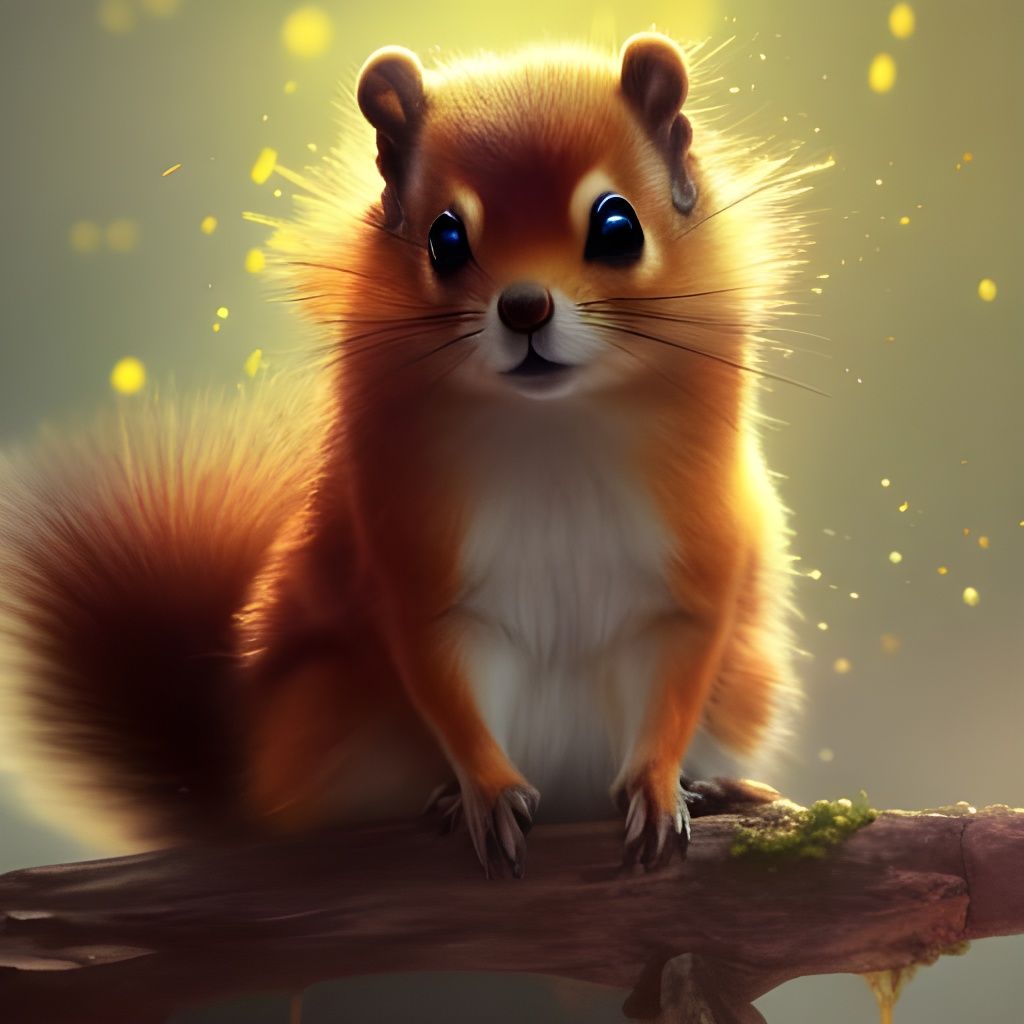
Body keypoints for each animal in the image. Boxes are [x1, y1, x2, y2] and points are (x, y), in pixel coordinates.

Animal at [0, 33, 805, 877]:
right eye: (444, 238)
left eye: (619, 227)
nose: (525, 307)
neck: (551, 425)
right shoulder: (417, 571)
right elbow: (446, 687)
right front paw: (485, 791)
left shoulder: (693, 576)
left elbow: (677, 681)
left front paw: (657, 784)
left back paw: (716, 787)